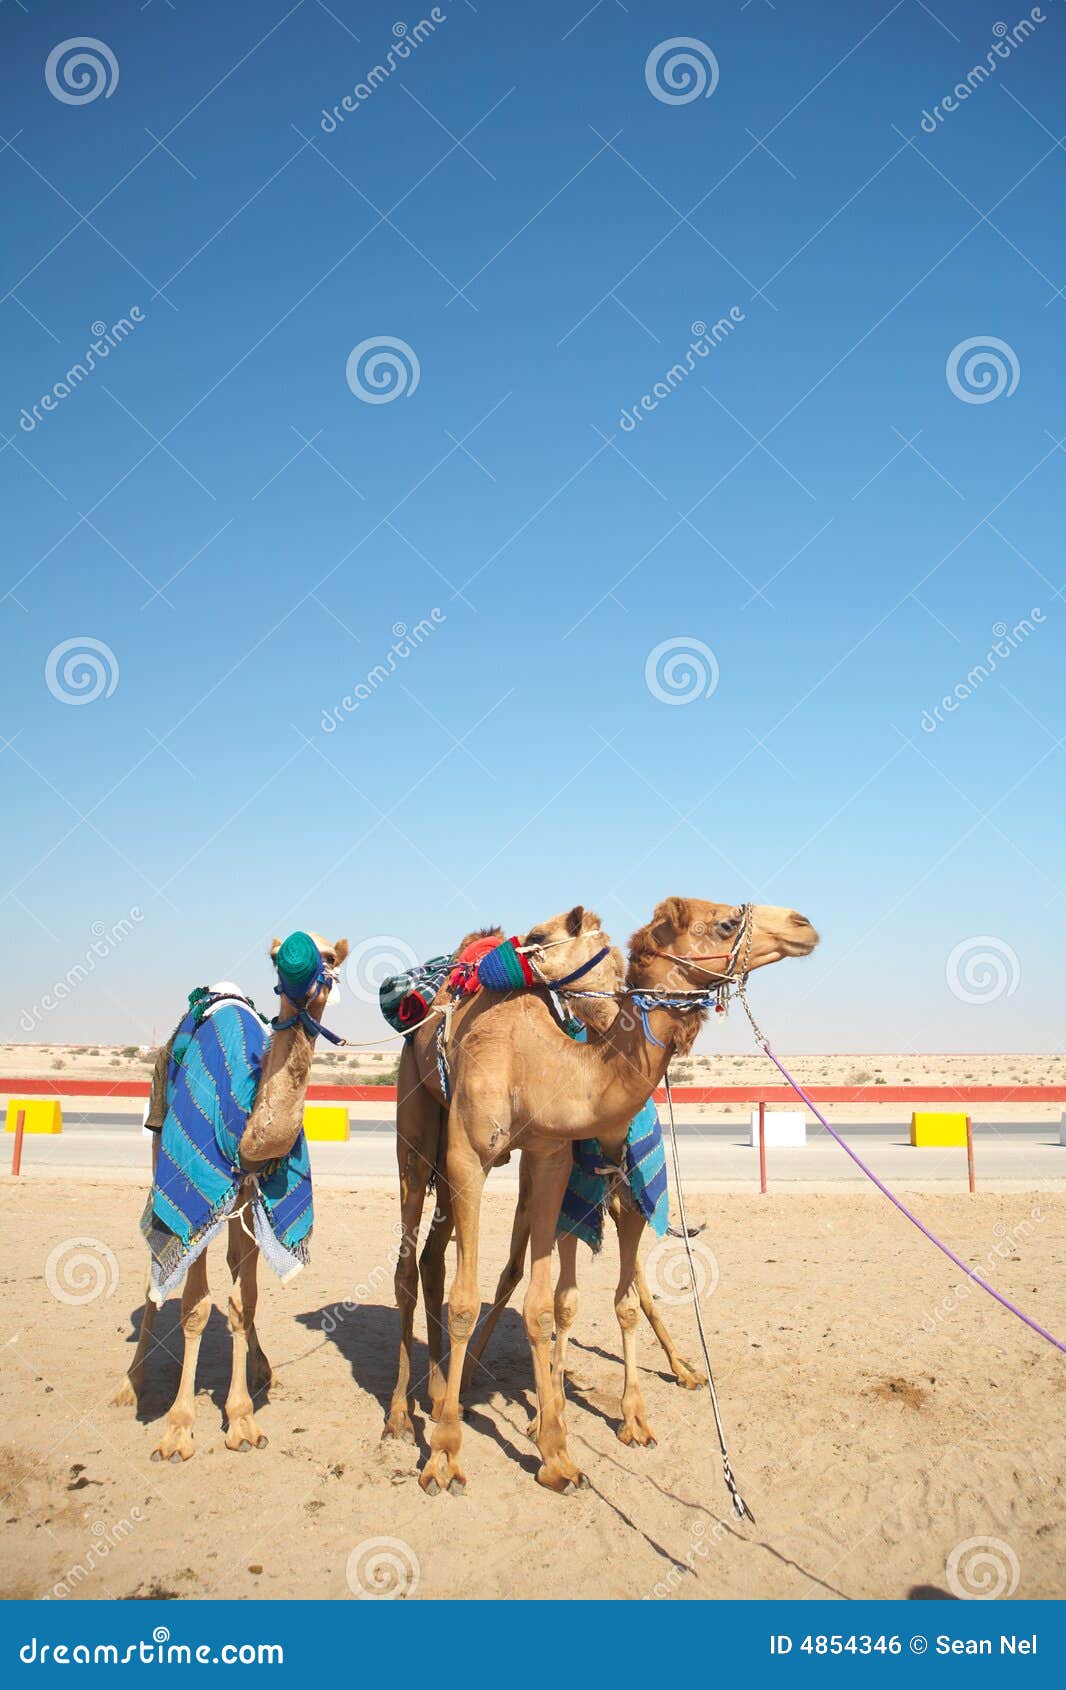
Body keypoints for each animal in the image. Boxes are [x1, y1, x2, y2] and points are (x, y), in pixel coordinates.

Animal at [114, 932, 348, 1463]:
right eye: (278, 957)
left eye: (329, 957)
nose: (298, 962)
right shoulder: (201, 1199)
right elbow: (195, 1308)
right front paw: (178, 1428)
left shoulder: (249, 1195)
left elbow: (244, 1304)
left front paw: (241, 1419)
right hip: (159, 1147)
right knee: (155, 1276)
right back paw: (130, 1384)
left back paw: (263, 1369)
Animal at [416, 897, 819, 1495]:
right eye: (725, 923)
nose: (803, 924)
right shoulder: (476, 1160)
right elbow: (495, 1302)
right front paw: (446, 1455)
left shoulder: (607, 1190)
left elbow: (613, 1303)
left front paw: (624, 1419)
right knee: (472, 1268)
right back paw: (441, 1397)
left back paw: (676, 1369)